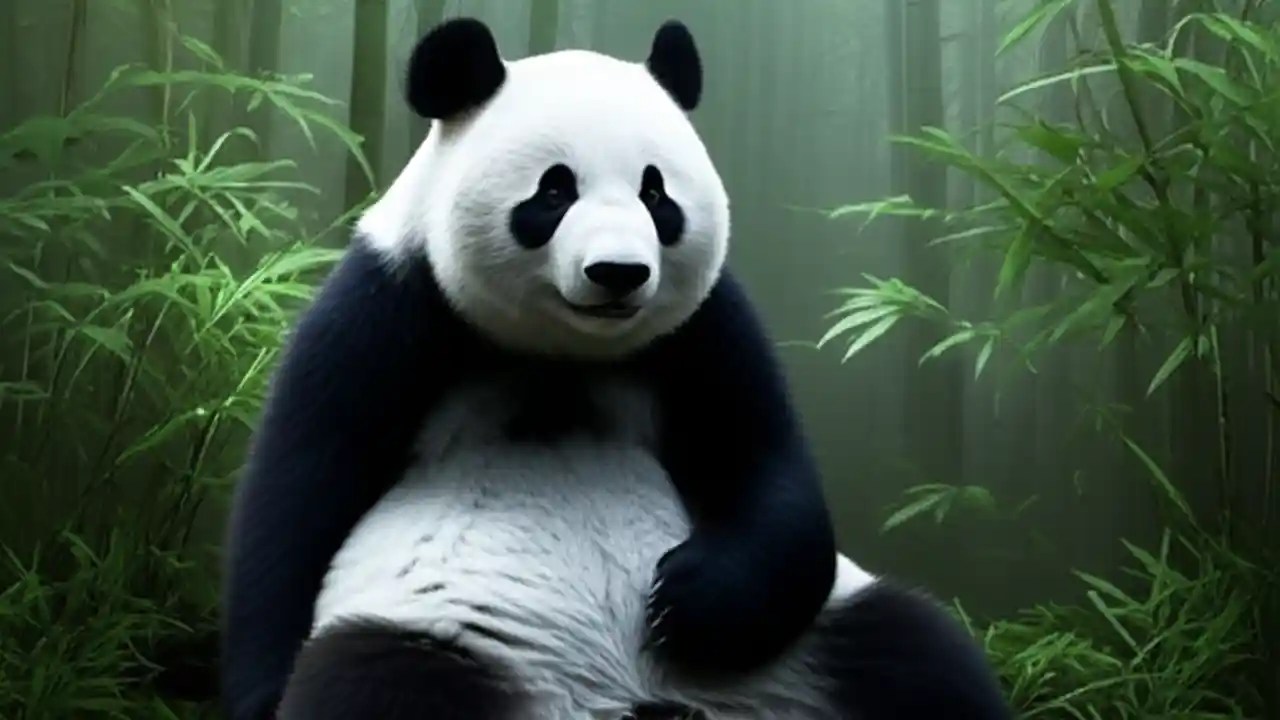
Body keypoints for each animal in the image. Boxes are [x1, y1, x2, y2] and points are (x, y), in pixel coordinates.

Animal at [219, 16, 1011, 720]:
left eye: (656, 195)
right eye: (553, 191)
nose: (619, 273)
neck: (562, 354)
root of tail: (629, 704)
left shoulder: (705, 330)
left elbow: (766, 464)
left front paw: (686, 603)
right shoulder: (390, 308)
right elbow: (300, 487)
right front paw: (259, 693)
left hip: (814, 645)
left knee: (919, 655)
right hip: (440, 635)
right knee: (380, 687)